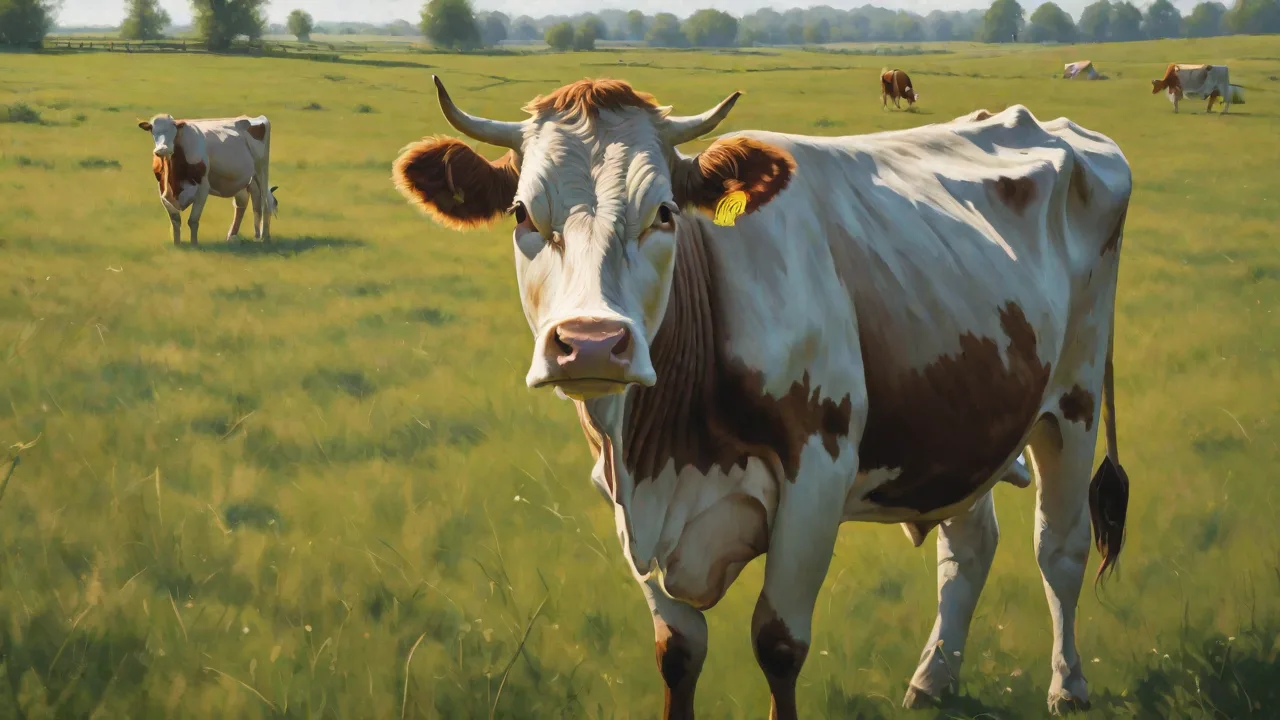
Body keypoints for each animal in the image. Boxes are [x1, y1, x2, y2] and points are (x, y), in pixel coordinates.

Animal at [137, 114, 278, 245]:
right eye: (152, 130)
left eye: (174, 130)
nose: (162, 149)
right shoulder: (162, 191)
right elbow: (175, 220)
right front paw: (177, 245)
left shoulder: (203, 189)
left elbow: (193, 220)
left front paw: (194, 245)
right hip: (248, 179)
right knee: (251, 203)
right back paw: (249, 236)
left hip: (261, 171)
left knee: (265, 202)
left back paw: (264, 237)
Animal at [391, 77, 1134, 718]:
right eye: (522, 213)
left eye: (664, 213)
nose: (593, 343)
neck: (662, 454)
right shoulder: (623, 499)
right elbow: (678, 652)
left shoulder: (818, 474)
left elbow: (778, 643)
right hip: (960, 417)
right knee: (969, 544)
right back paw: (933, 680)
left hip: (1074, 398)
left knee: (1060, 548)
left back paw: (1068, 686)